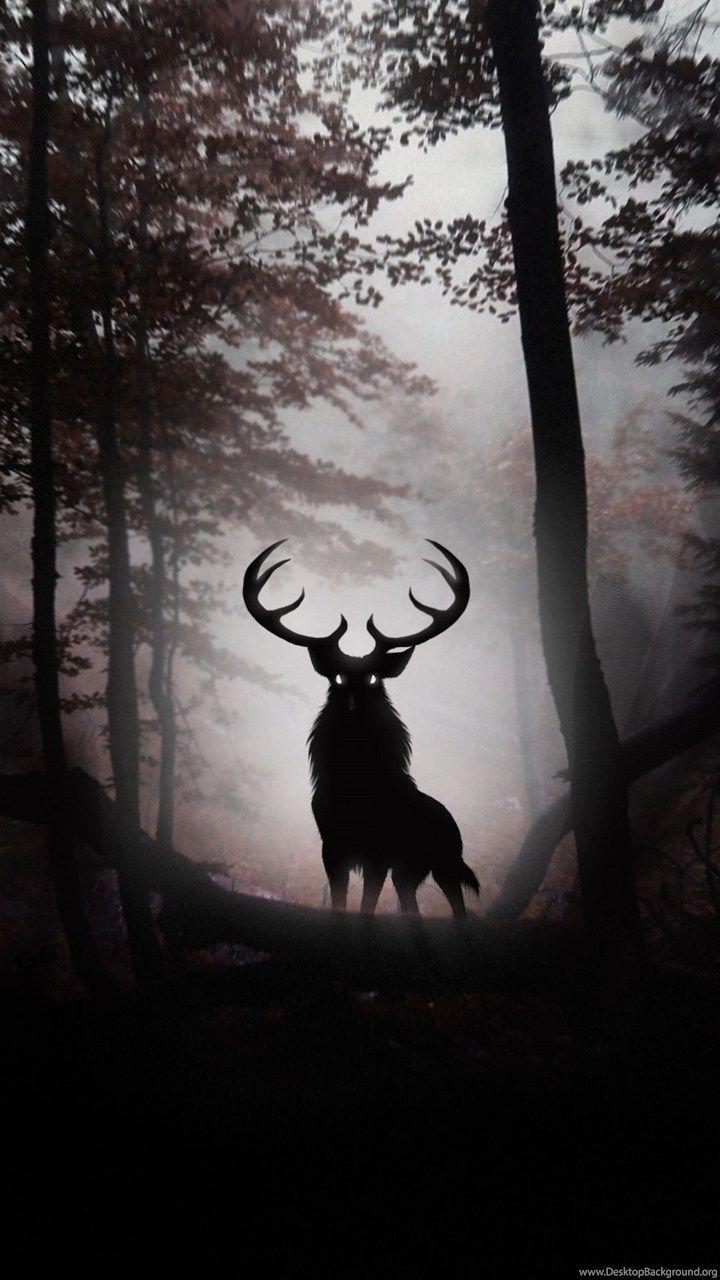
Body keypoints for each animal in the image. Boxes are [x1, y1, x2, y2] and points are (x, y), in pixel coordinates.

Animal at [243, 540, 479, 918]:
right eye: (337, 678)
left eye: (372, 678)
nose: (354, 703)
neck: (355, 789)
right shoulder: (331, 846)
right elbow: (340, 901)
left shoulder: (379, 853)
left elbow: (367, 906)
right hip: (410, 872)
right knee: (411, 906)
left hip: (444, 862)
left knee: (458, 907)